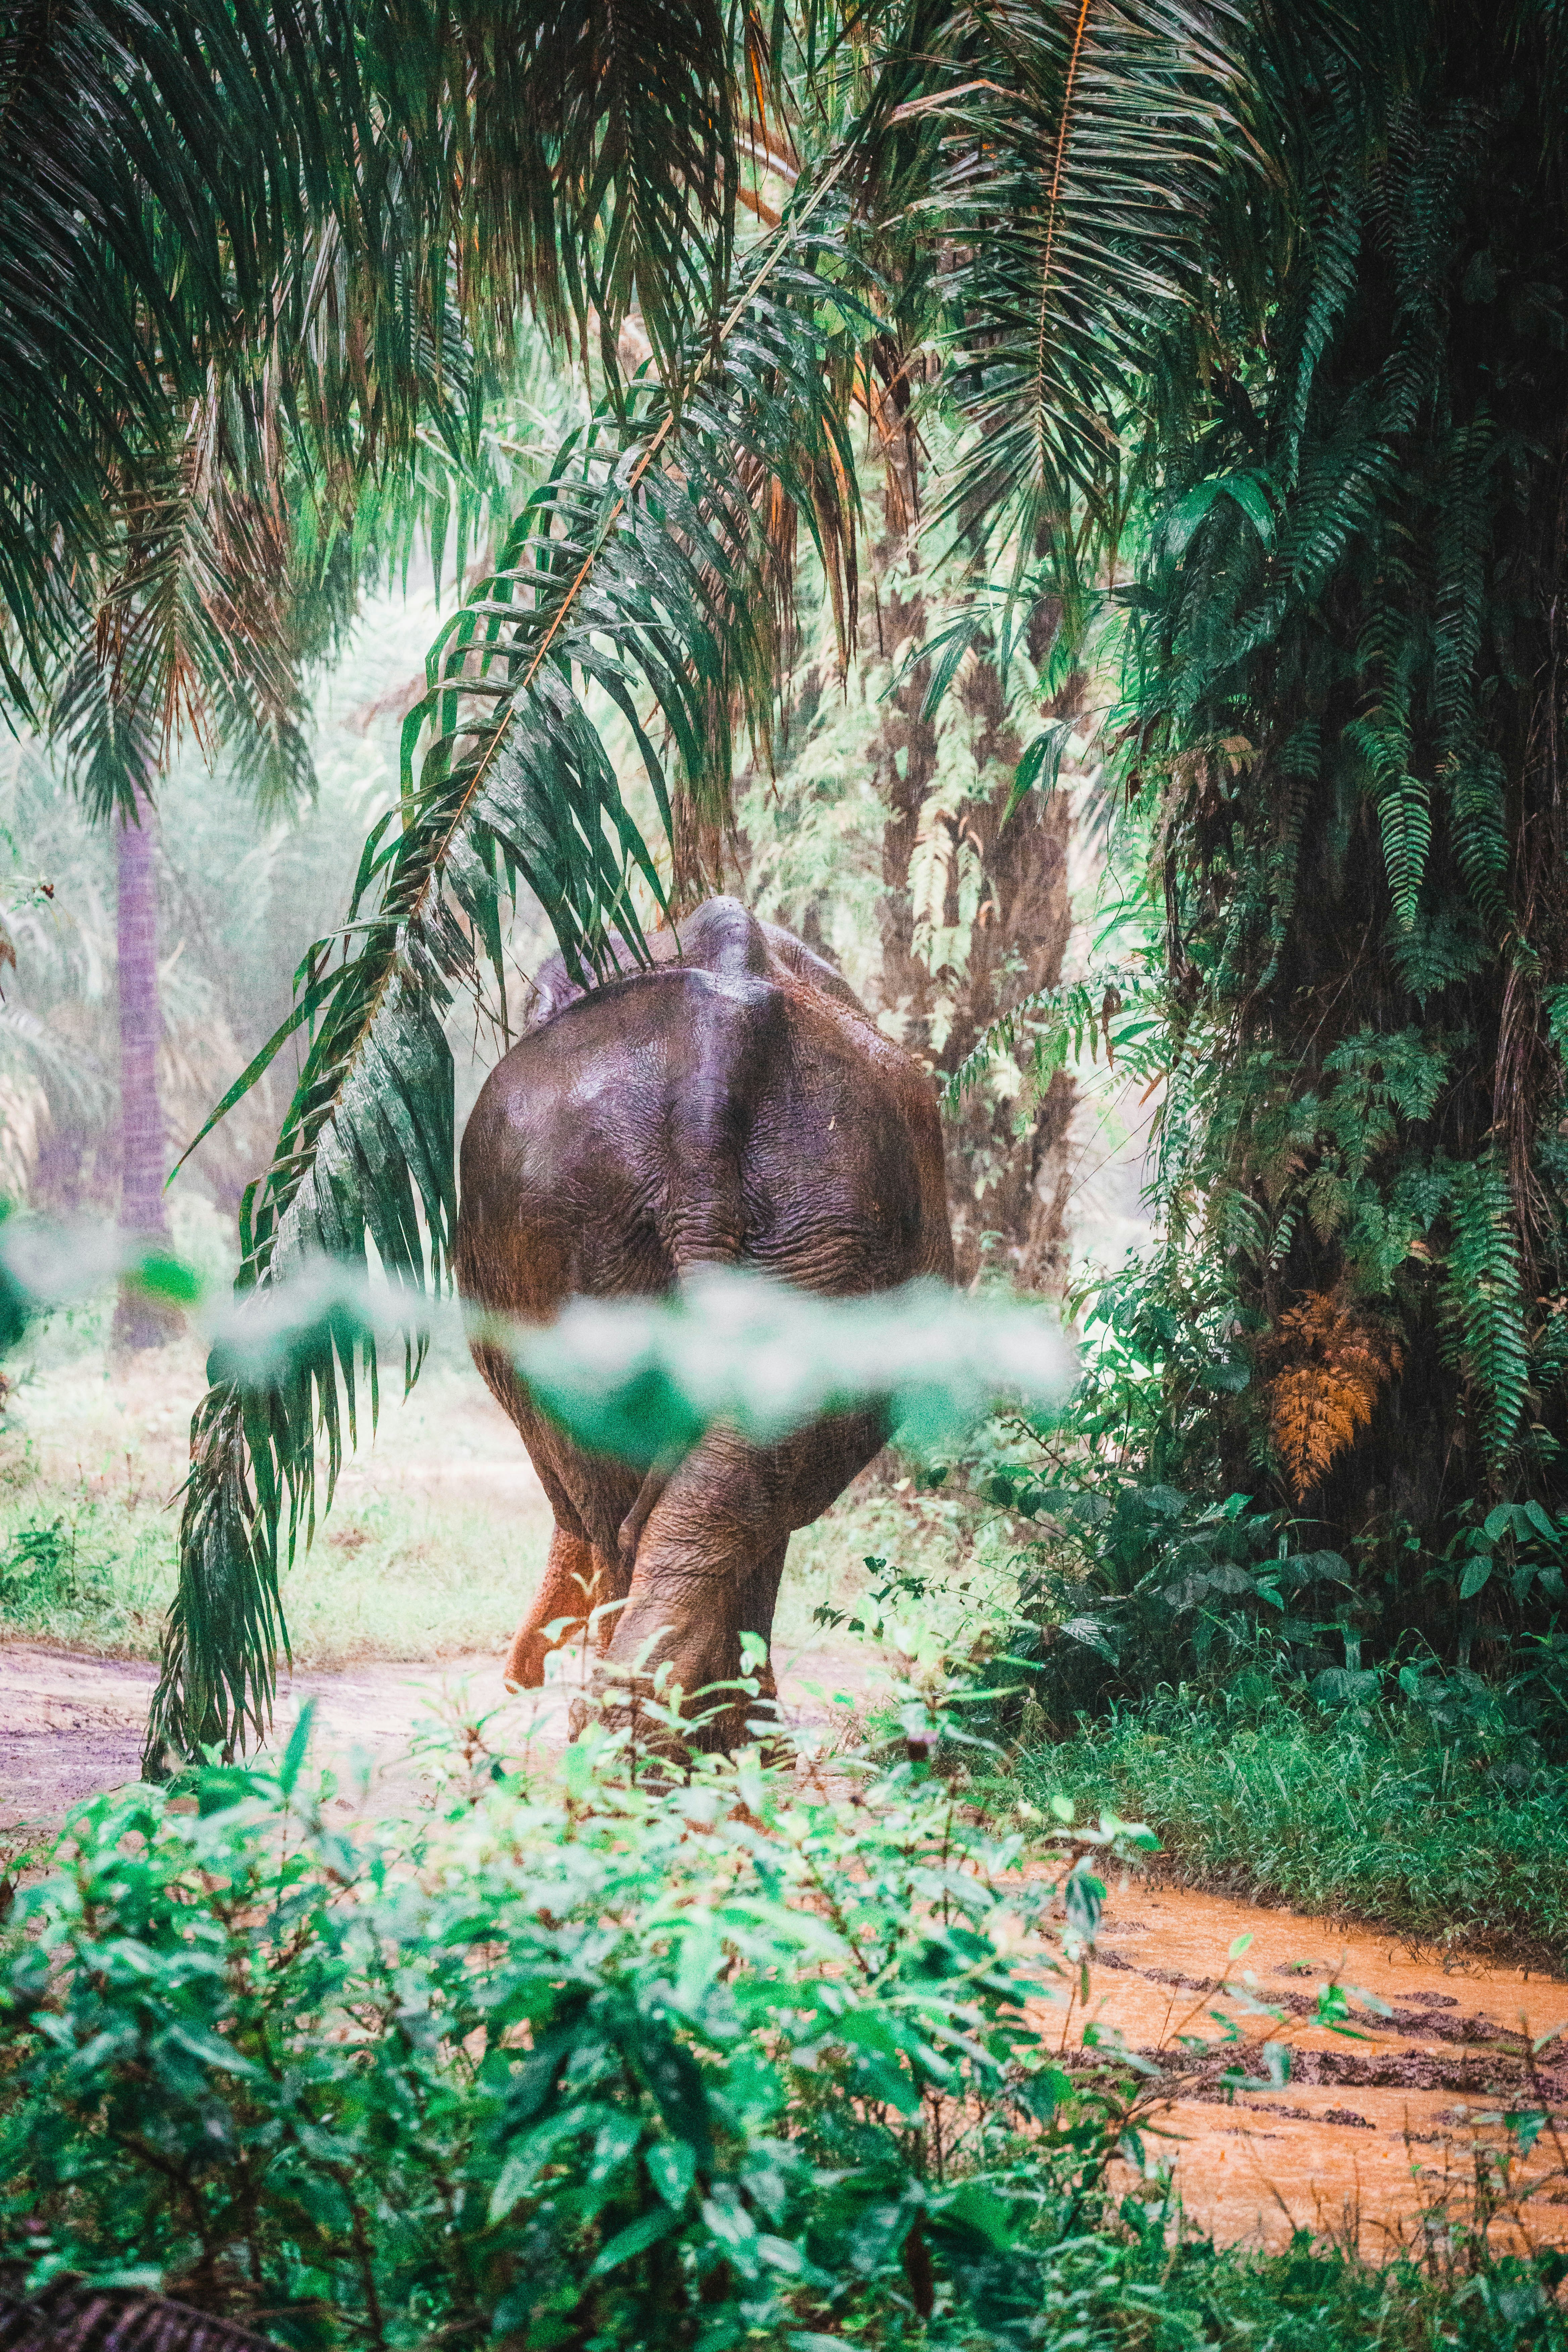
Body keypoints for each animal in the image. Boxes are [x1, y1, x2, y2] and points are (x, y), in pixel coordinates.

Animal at [455, 896, 954, 1747]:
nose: (518, 1679)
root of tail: (718, 1062)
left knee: (617, 1500)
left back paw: (633, 1744)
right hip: (827, 1239)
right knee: (734, 1488)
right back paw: (670, 1745)